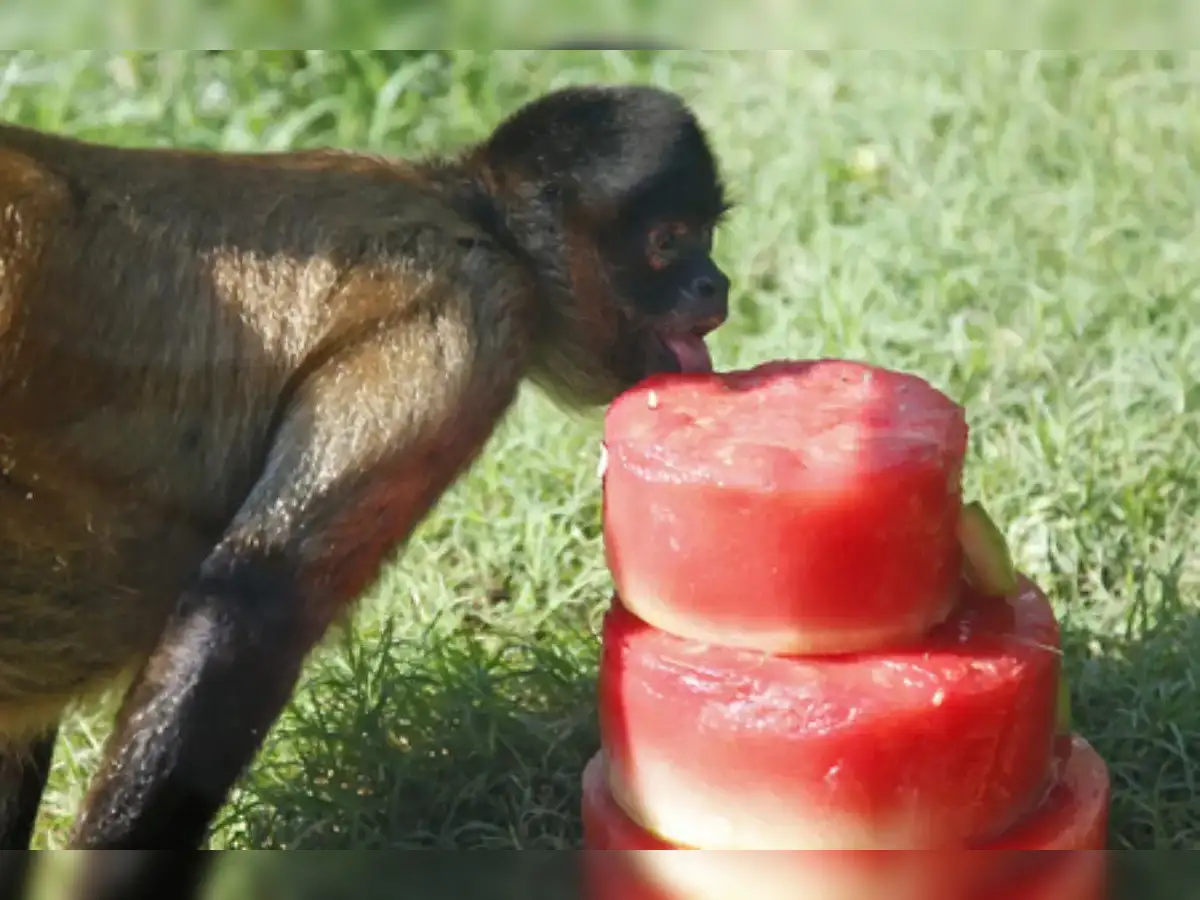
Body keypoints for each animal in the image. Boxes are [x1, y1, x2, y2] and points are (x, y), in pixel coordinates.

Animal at [0, 82, 732, 899]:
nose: (718, 283)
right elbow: (253, 599)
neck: (469, 210)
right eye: (669, 242)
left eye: (707, 236)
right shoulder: (471, 308)